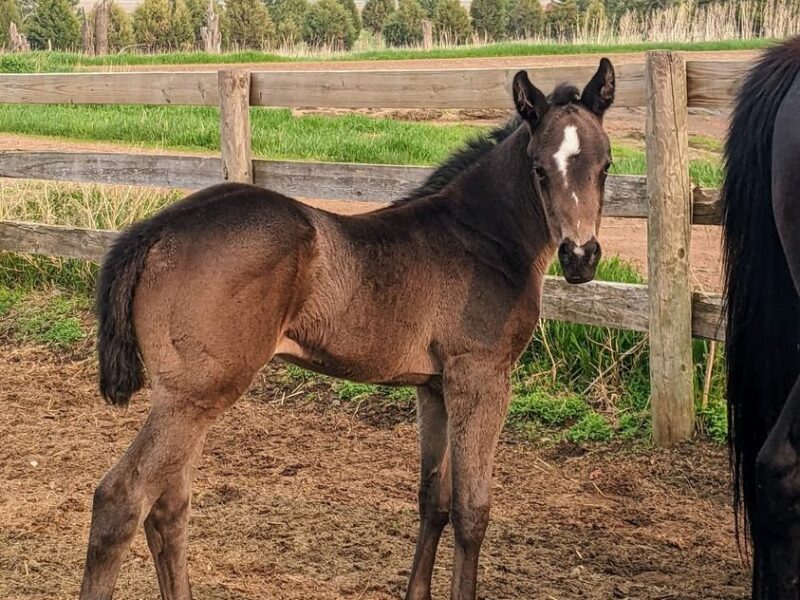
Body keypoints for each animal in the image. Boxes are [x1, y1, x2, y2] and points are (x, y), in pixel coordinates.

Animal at [79, 60, 616, 600]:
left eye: (606, 165)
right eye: (539, 167)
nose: (580, 256)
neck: (481, 237)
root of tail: (156, 229)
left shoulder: (435, 387)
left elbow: (434, 499)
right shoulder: (481, 378)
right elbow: (472, 510)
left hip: (183, 397)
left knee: (168, 507)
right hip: (195, 395)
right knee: (121, 500)